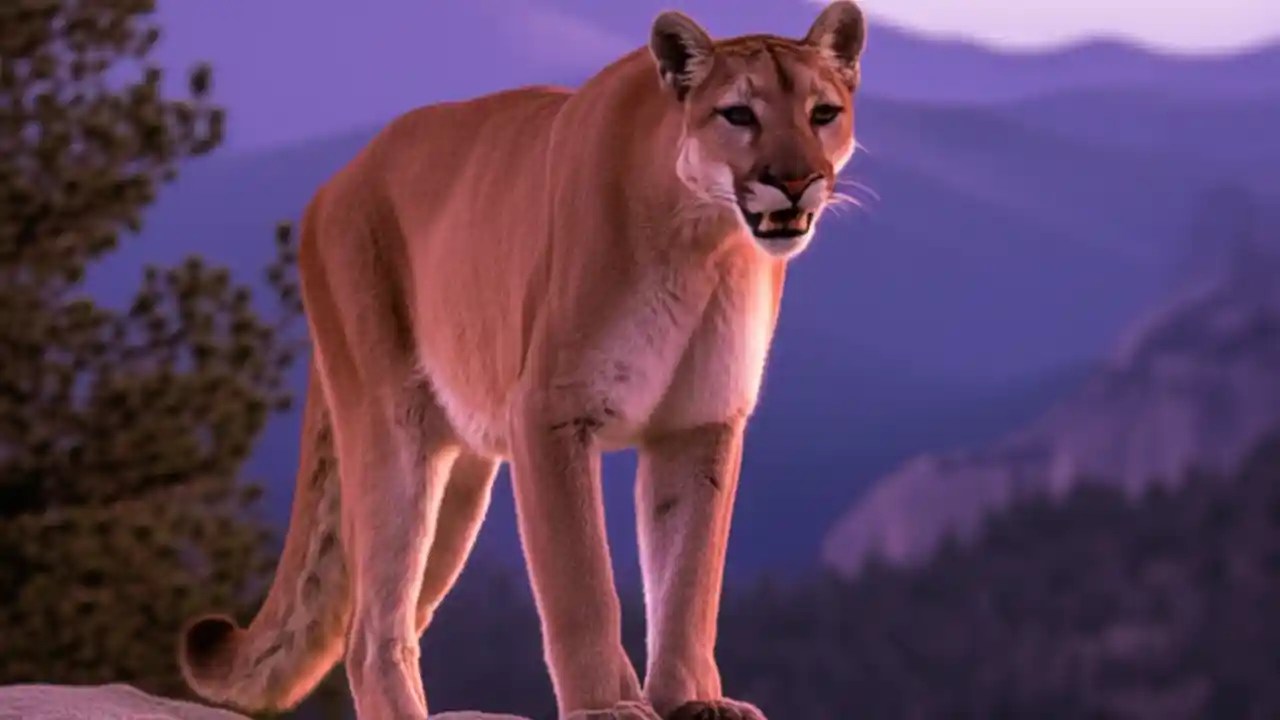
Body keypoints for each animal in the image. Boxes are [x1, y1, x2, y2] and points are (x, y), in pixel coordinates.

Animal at [177, 3, 867, 719]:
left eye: (823, 112)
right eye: (738, 114)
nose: (794, 183)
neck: (703, 239)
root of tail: (337, 181)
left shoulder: (699, 423)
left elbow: (690, 580)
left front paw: (690, 699)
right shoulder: (551, 412)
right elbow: (580, 580)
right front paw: (606, 704)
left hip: (460, 477)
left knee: (382, 614)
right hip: (391, 426)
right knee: (370, 627)